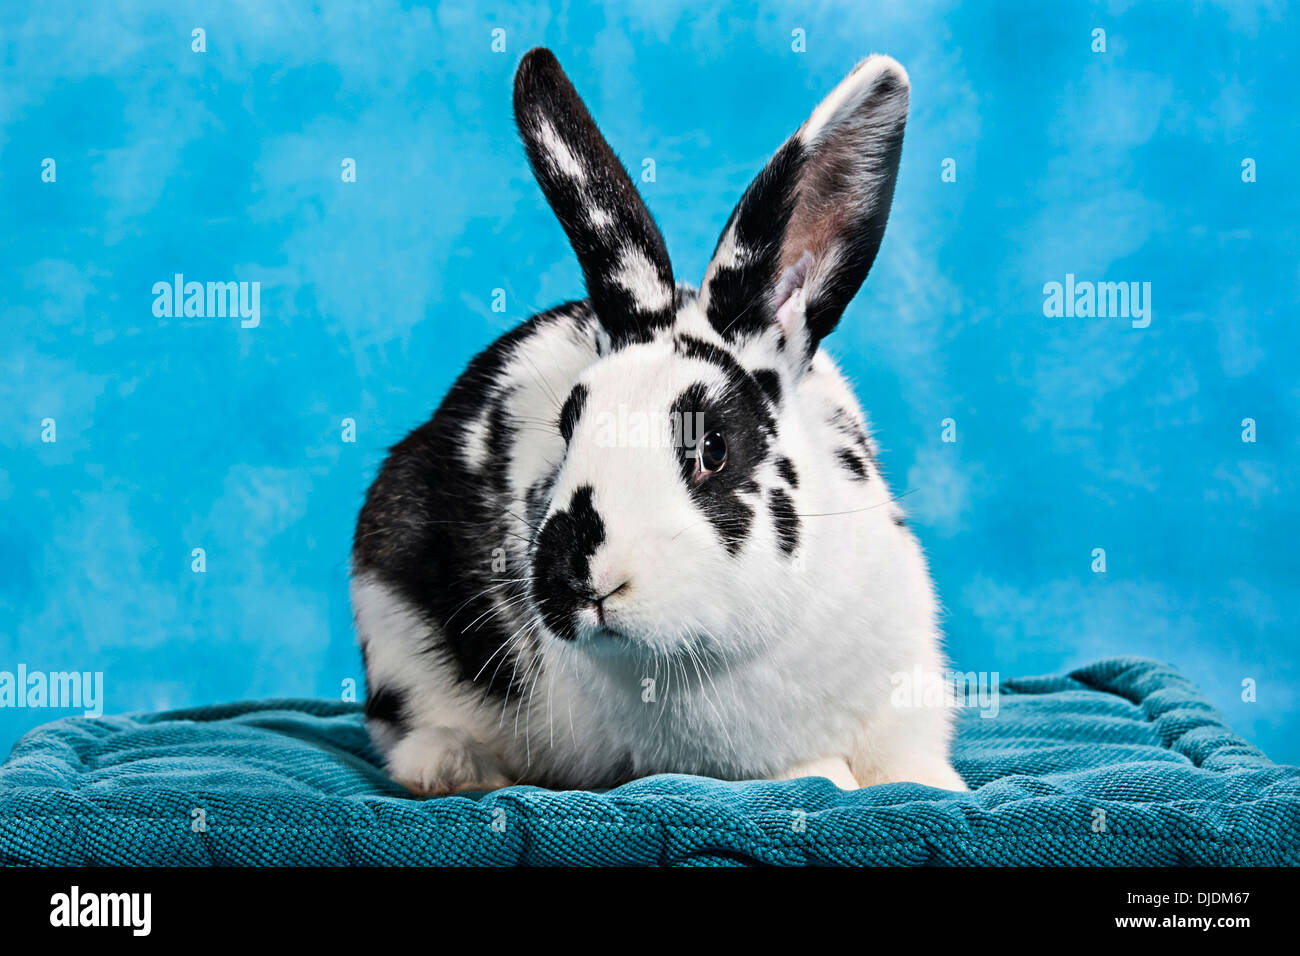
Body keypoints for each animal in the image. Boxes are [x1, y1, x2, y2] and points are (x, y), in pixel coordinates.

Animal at [351, 47, 966, 796]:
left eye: (713, 448)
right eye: (568, 429)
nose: (585, 579)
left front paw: (937, 787)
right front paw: (826, 775)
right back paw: (449, 767)